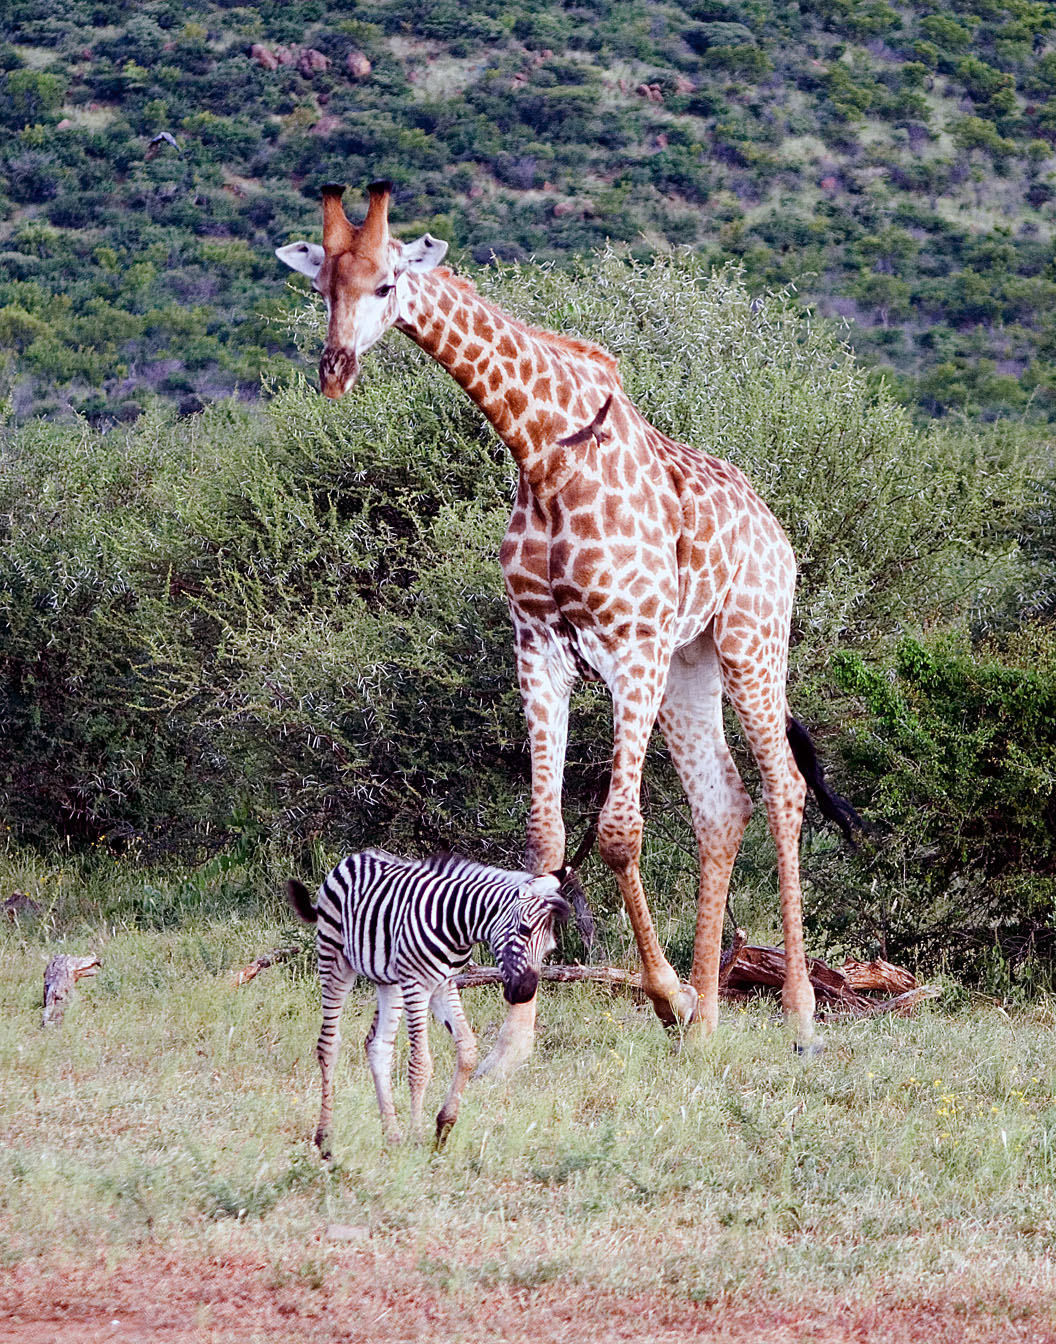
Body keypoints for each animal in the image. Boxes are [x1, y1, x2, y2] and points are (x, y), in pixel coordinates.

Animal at [277, 181, 859, 1074]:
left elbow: (617, 834)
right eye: (322, 288)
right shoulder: (539, 648)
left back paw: (795, 1017)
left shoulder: (628, 642)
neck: (544, 453)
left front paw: (664, 996)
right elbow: (543, 840)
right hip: (689, 663)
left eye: (385, 284)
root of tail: (778, 531)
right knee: (722, 802)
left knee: (784, 788)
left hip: (749, 641)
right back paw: (710, 1021)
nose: (334, 370)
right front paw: (513, 1043)